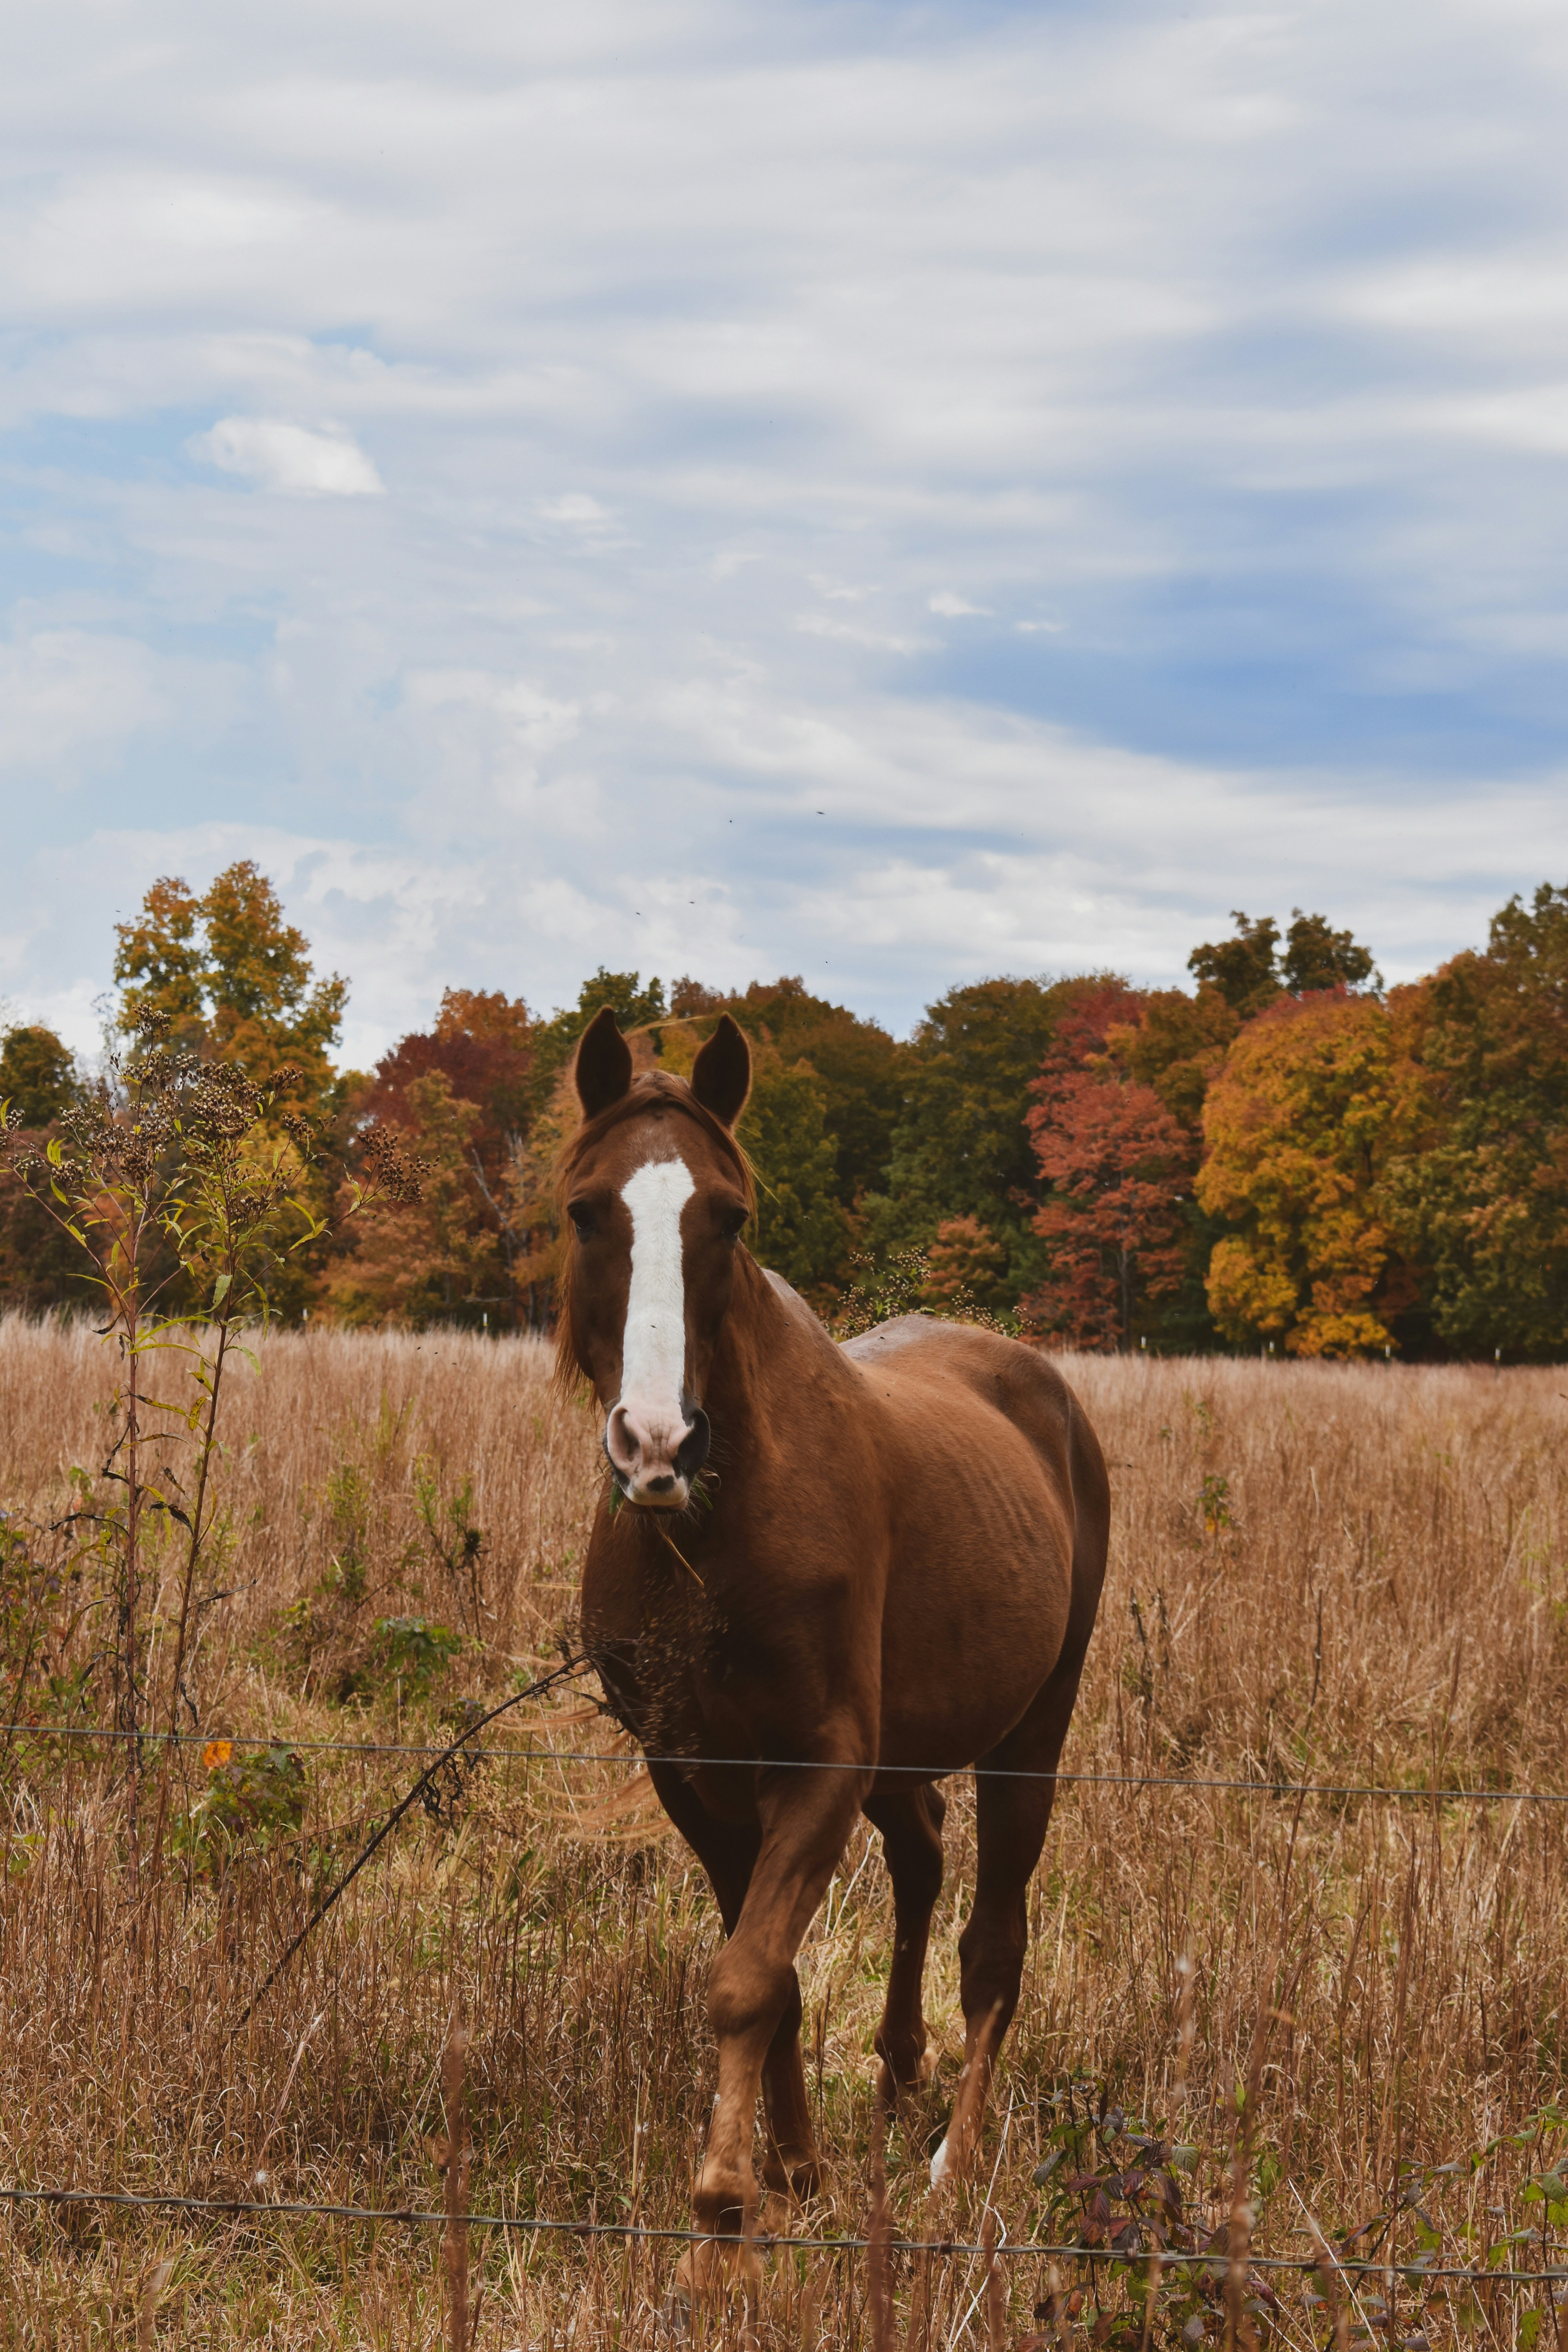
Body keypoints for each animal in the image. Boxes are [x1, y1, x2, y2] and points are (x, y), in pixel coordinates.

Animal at [559, 1006, 1110, 2301]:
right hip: (906, 1753)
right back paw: (901, 2072)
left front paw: (722, 2208)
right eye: (586, 1212)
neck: (709, 1529)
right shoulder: (696, 1775)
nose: (656, 1442)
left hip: (1032, 1733)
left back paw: (955, 2158)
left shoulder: (818, 1768)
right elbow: (773, 1973)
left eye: (728, 1216)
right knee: (922, 1855)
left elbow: (747, 1976)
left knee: (992, 1942)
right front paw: (796, 2166)